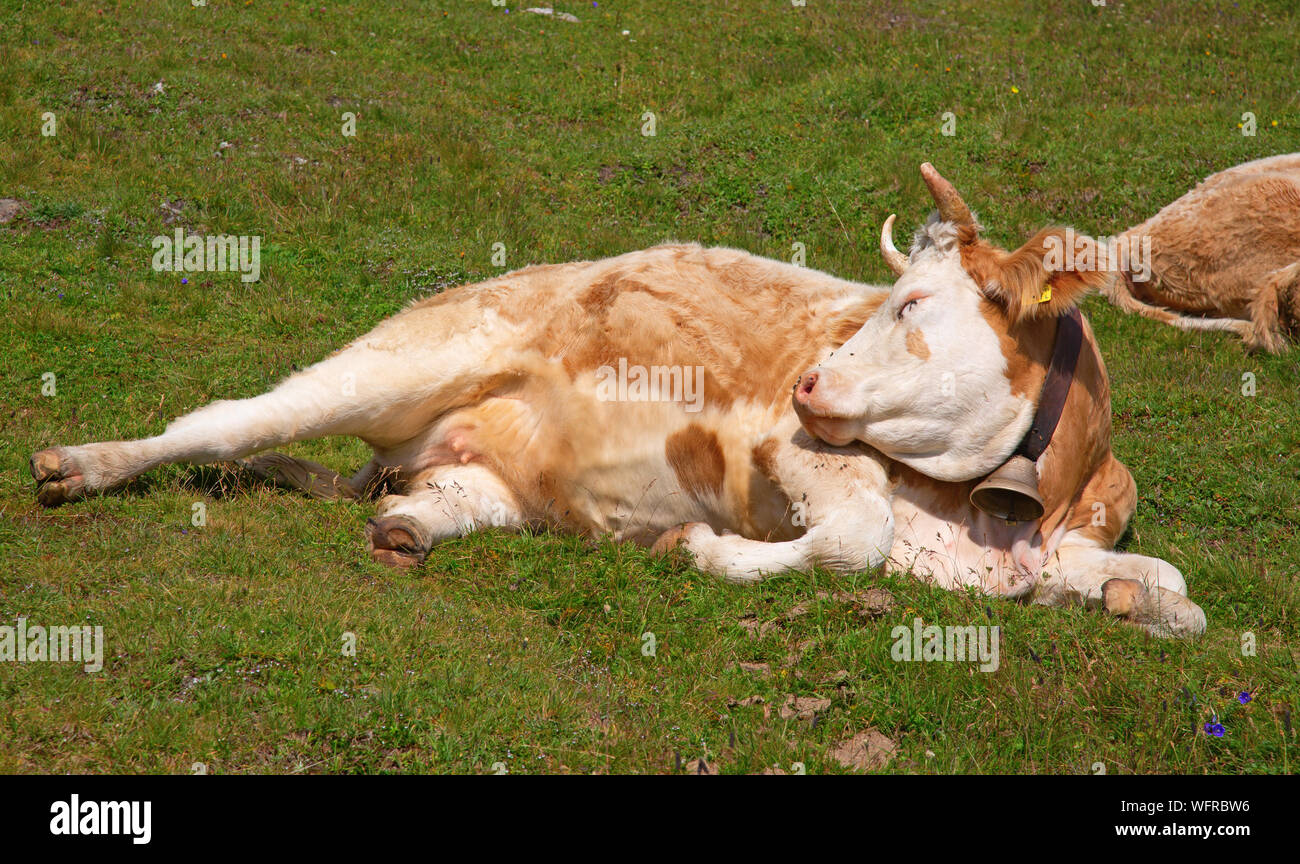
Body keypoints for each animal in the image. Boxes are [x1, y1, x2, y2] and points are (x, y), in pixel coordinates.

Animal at [28, 163, 1206, 637]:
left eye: (914, 305)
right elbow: (855, 535)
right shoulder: (793, 455)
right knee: (226, 421)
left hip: (486, 478)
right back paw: (82, 464)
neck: (1018, 511)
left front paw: (1134, 602)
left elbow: (1171, 585)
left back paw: (408, 528)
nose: (807, 382)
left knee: (437, 501)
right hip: (395, 361)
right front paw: (702, 551)